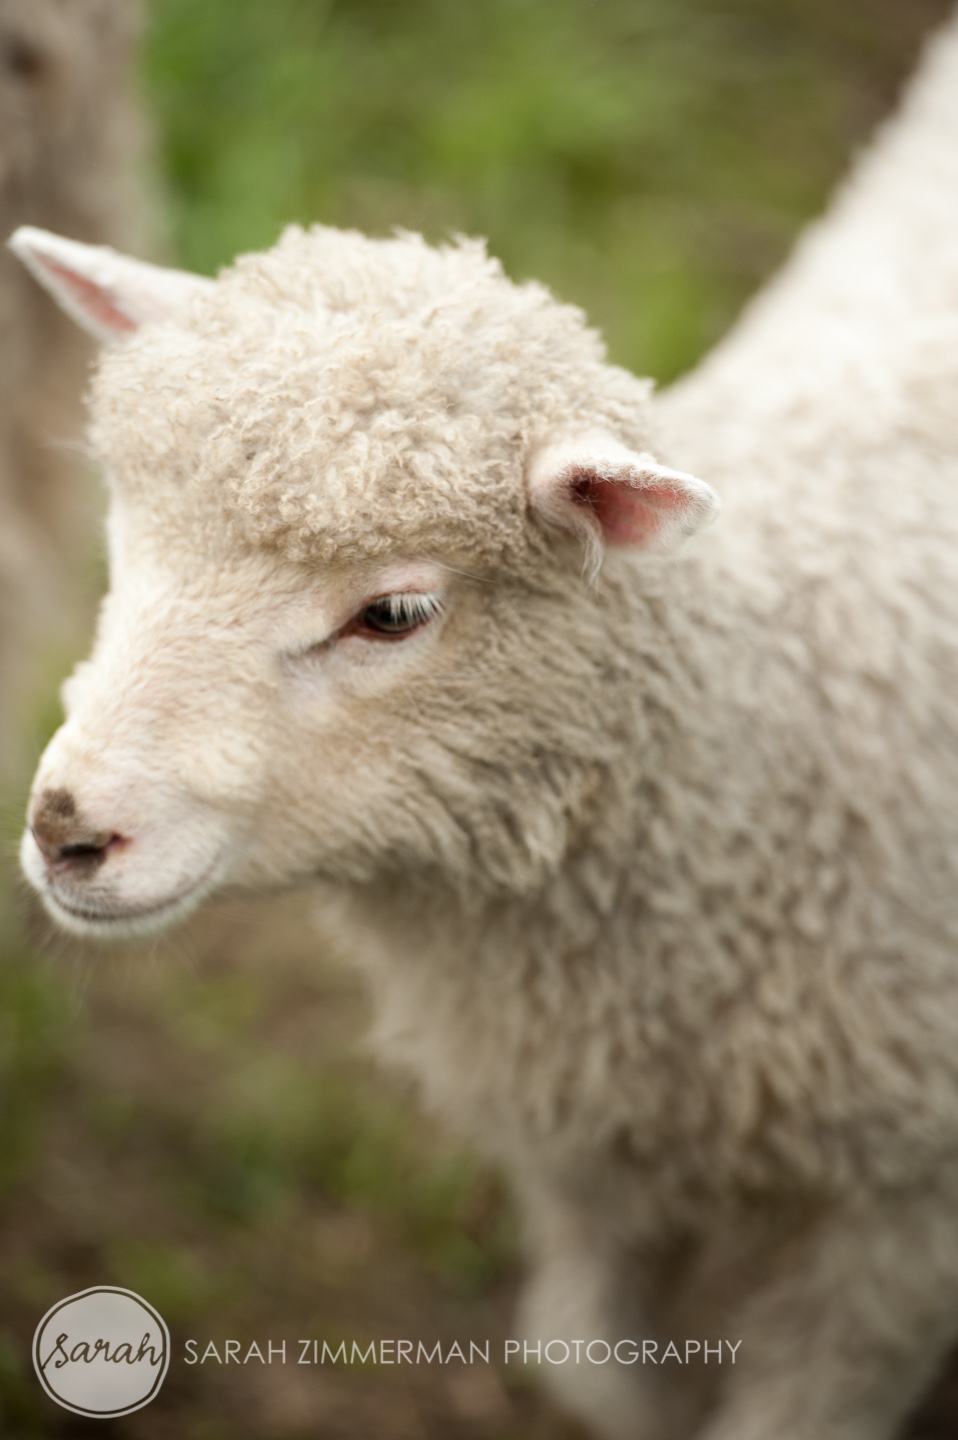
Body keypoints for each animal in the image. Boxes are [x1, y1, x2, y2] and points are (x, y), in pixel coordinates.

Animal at [12, 10, 958, 1439]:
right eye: (129, 528)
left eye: (394, 612)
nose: (68, 831)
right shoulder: (586, 1163)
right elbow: (597, 1367)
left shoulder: (899, 1226)